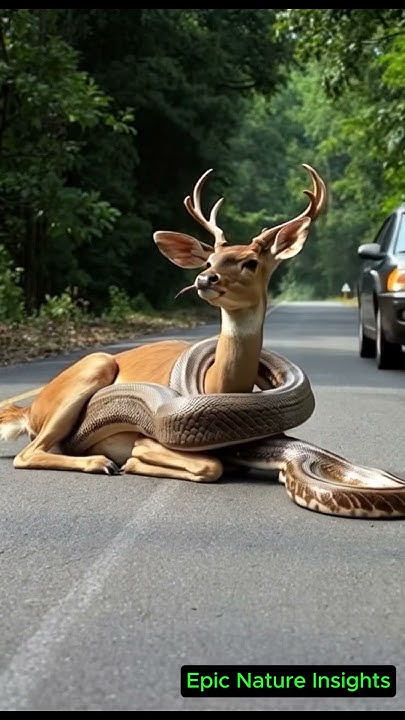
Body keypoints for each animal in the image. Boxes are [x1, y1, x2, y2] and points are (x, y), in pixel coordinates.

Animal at [0, 164, 326, 483]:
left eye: (251, 262)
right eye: (209, 261)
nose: (204, 279)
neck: (218, 383)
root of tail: (30, 408)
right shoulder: (147, 438)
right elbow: (209, 465)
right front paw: (134, 462)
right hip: (95, 365)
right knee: (28, 453)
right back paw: (100, 461)